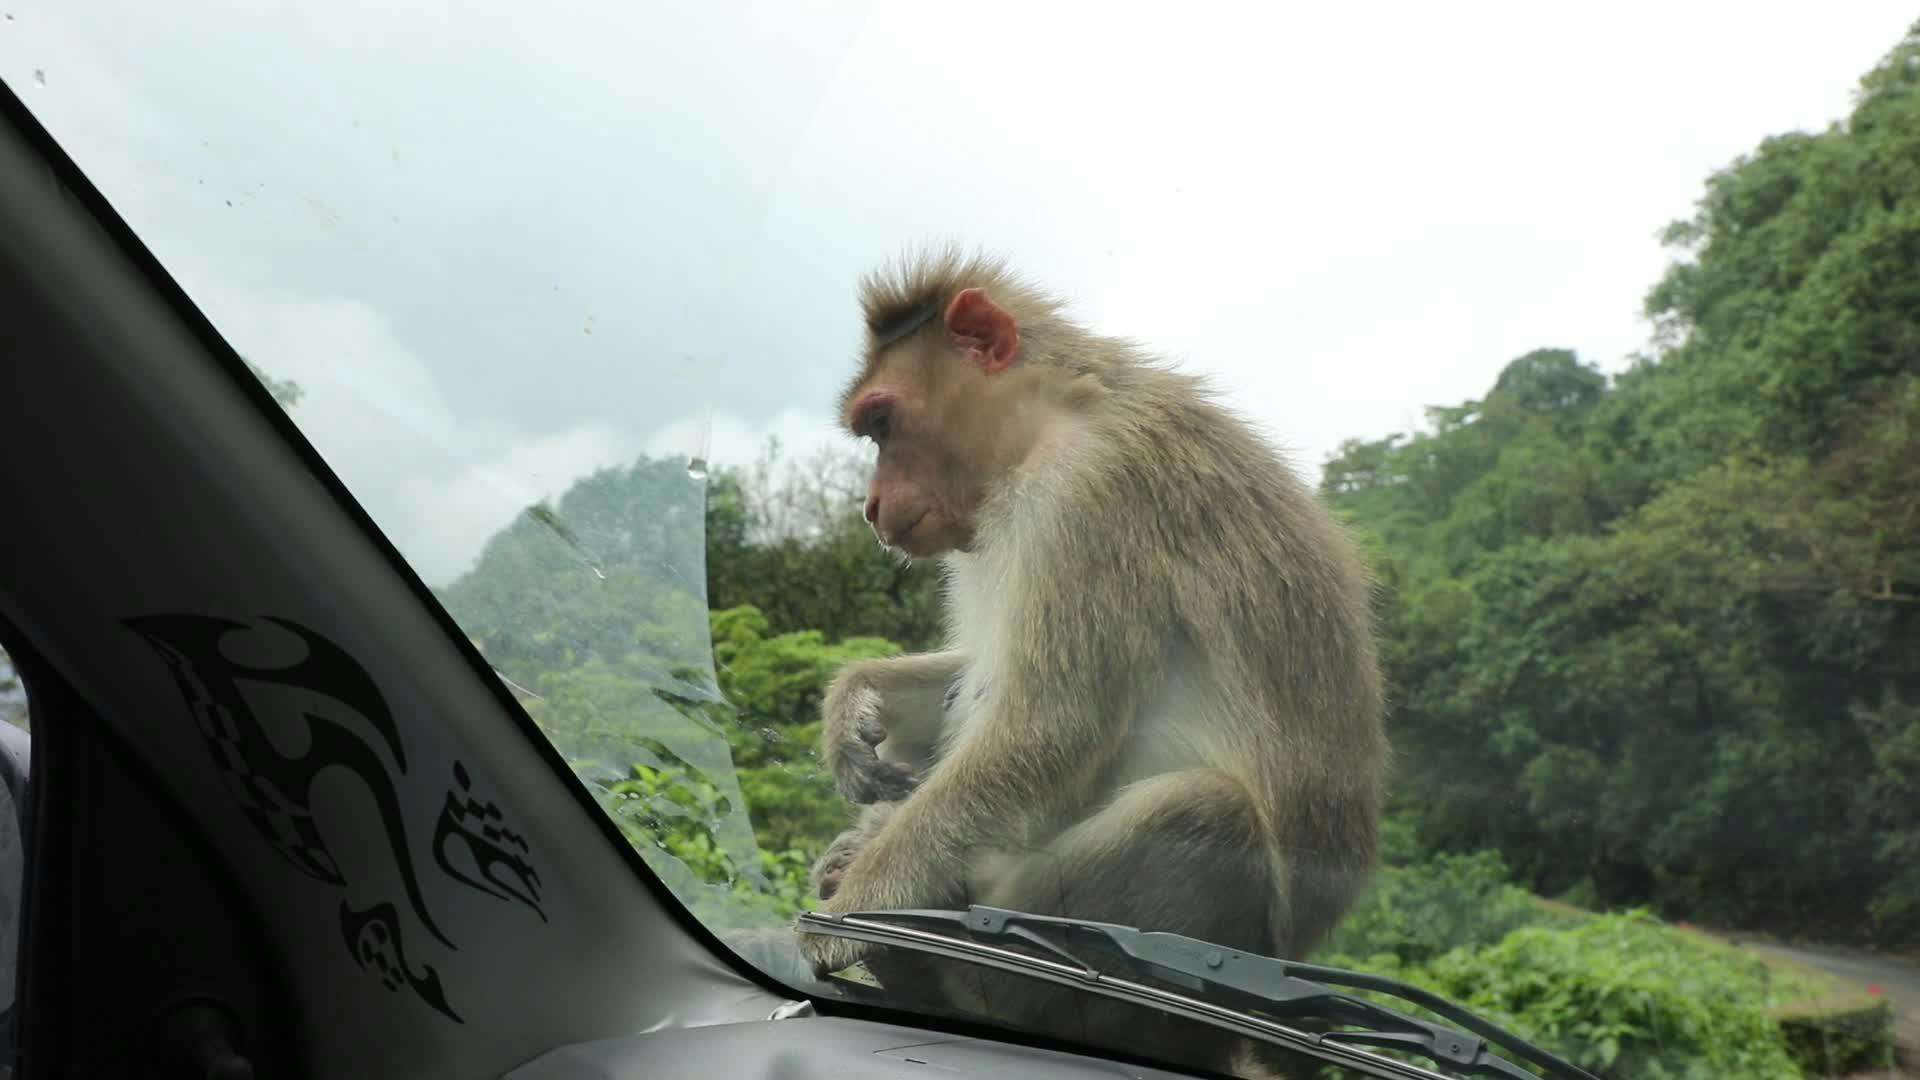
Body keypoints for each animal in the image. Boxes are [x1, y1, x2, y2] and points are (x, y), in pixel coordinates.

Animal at [796, 247, 1389, 1078]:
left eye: (883, 424)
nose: (871, 507)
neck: (1055, 419)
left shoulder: (1088, 497)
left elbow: (1047, 730)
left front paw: (849, 912)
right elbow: (977, 674)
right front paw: (854, 700)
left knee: (1203, 813)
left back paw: (956, 976)